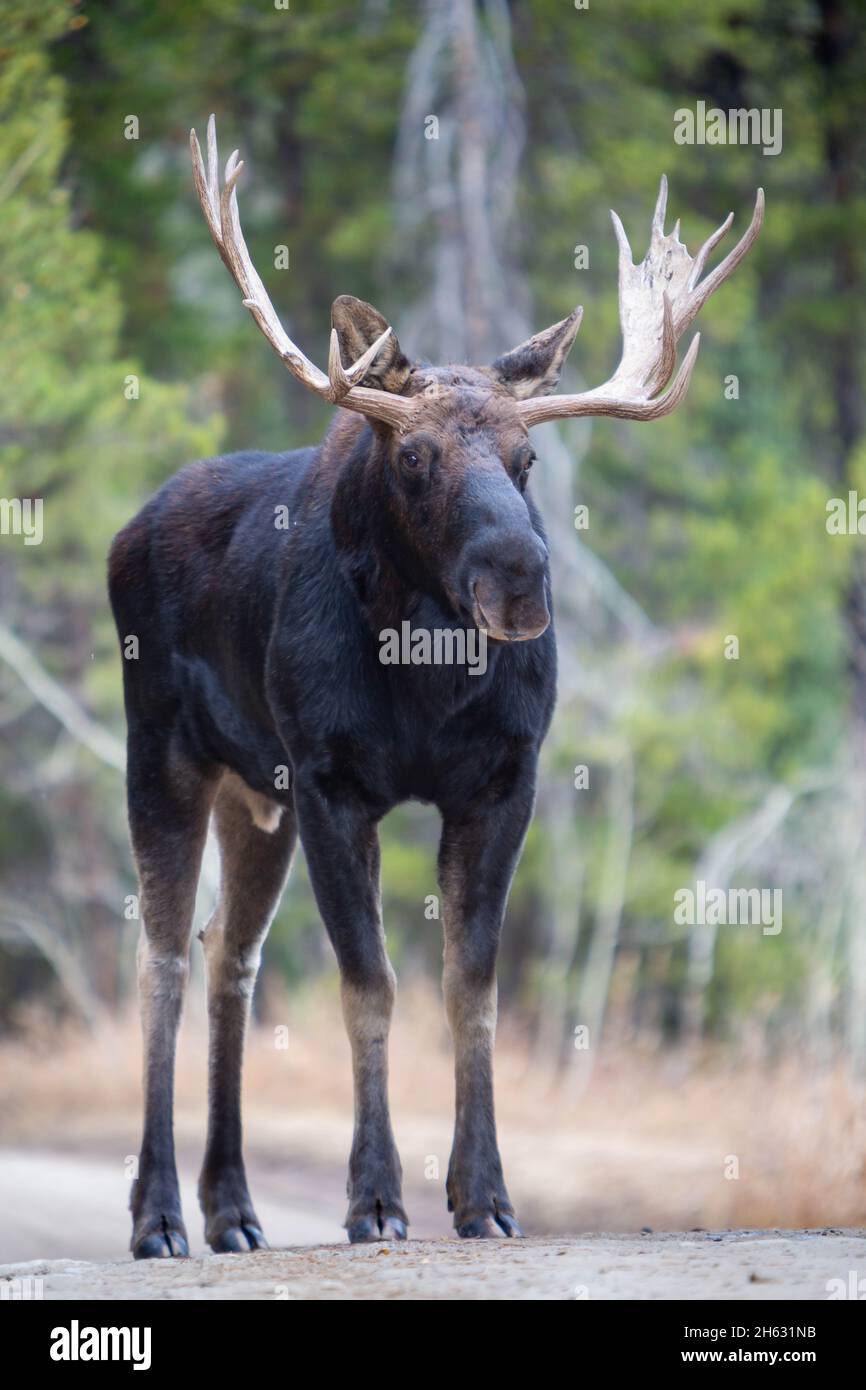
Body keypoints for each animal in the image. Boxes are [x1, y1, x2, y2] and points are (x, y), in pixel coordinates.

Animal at [108, 116, 763, 1257]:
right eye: (412, 454)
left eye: (527, 453)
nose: (520, 577)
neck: (424, 681)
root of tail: (123, 532)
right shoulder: (333, 783)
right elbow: (370, 985)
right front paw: (374, 1199)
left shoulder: (501, 779)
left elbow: (471, 987)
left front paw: (483, 1195)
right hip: (165, 753)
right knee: (162, 959)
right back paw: (157, 1218)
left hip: (255, 792)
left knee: (228, 952)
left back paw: (233, 1209)